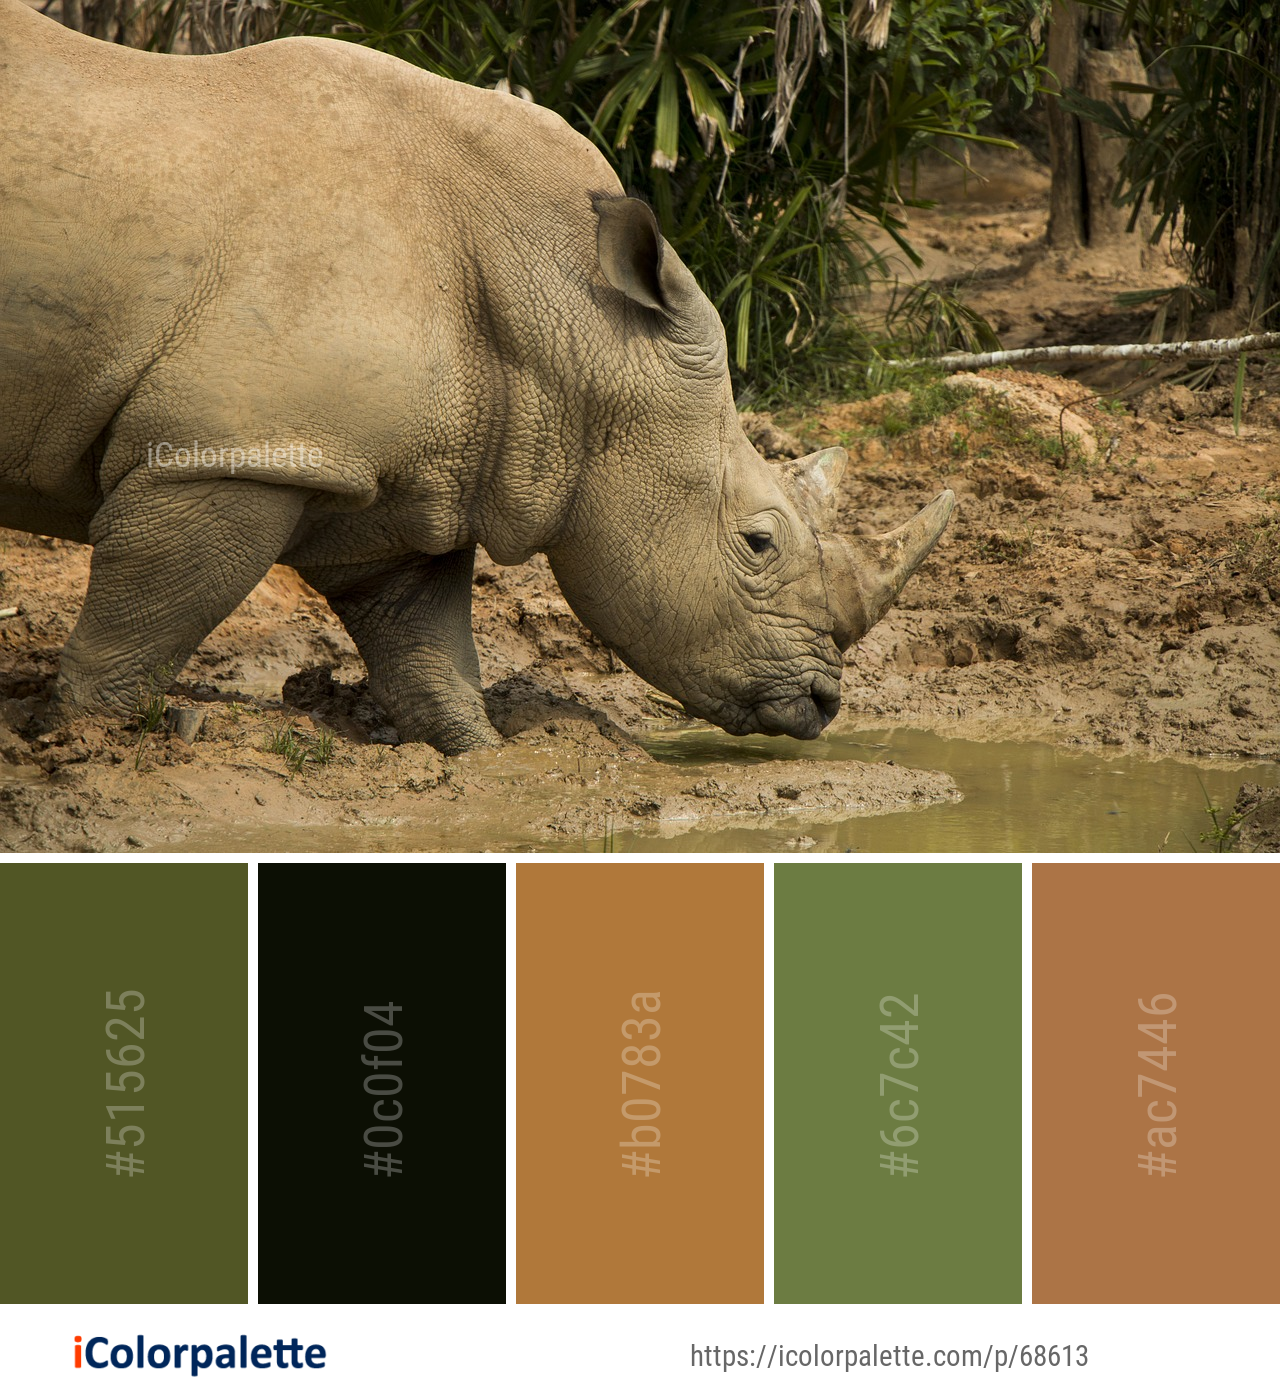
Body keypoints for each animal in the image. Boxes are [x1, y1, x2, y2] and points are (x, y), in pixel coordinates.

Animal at [0, 0, 953, 754]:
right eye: (758, 543)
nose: (825, 704)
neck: (581, 324)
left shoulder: (408, 486)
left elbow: (428, 649)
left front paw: (481, 759)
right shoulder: (235, 451)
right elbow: (142, 625)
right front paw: (80, 740)